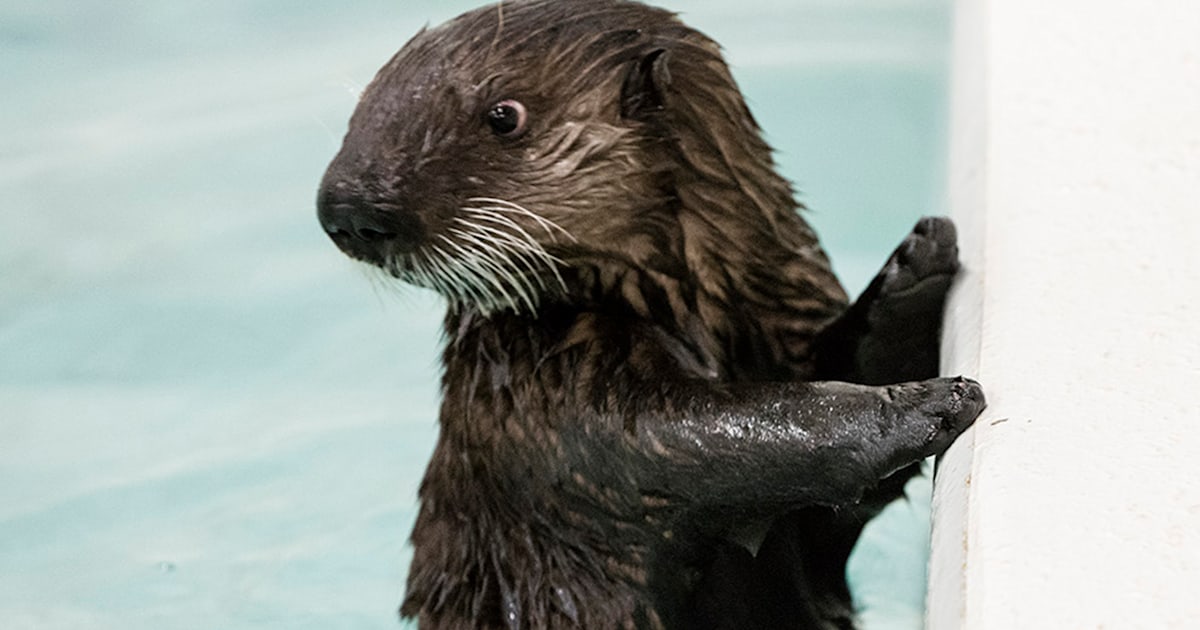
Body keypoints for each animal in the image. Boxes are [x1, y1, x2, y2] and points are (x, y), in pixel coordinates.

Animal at [316, 1, 984, 628]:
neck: (692, 306)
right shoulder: (547, 396)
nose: (345, 208)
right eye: (365, 105)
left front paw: (918, 260)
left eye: (503, 116)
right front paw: (925, 405)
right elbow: (706, 434)